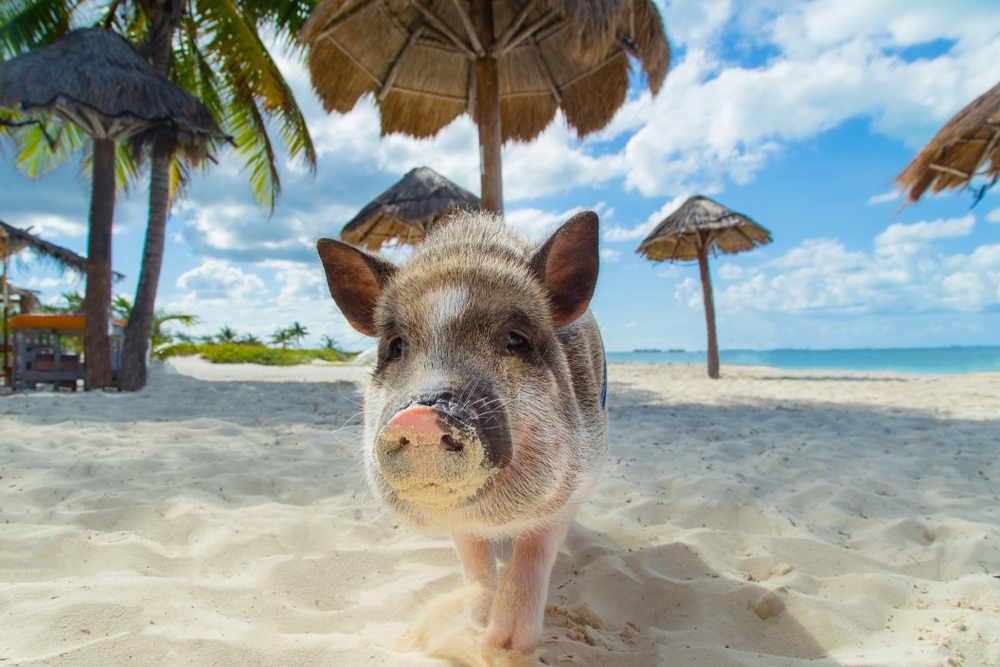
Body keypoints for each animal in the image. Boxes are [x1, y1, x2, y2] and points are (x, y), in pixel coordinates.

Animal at [316, 210, 608, 660]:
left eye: (516, 339)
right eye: (394, 346)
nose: (420, 415)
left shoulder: (581, 473)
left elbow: (535, 549)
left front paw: (509, 646)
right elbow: (473, 560)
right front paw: (475, 631)